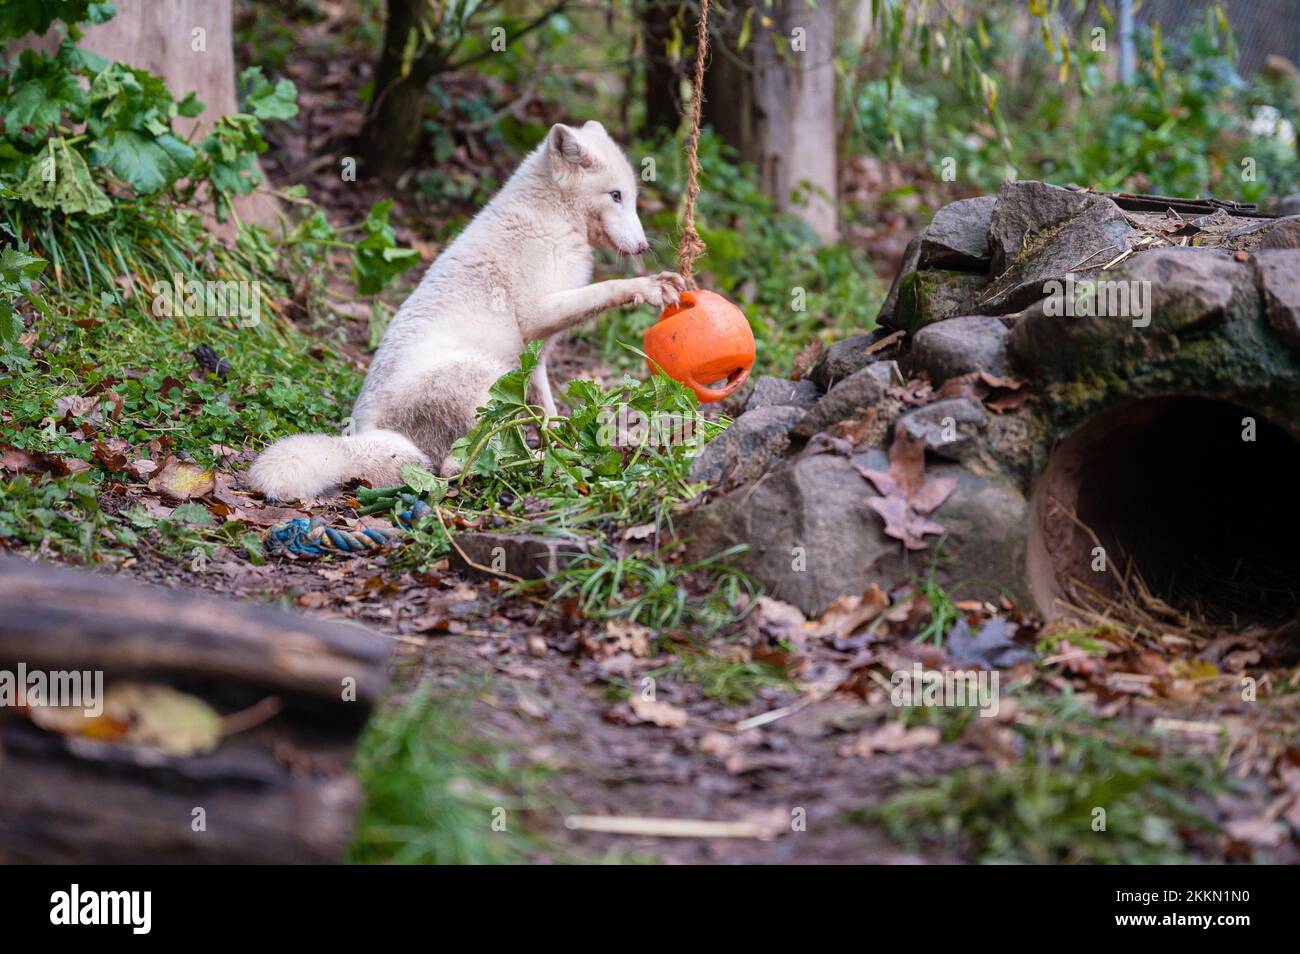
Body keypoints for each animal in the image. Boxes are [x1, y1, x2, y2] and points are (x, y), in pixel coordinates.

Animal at [248, 121, 685, 501]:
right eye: (616, 196)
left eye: (631, 197)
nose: (644, 247)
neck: (552, 219)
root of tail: (365, 430)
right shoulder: (539, 315)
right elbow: (608, 288)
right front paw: (650, 286)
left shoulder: (535, 353)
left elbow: (547, 409)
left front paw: (569, 436)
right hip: (486, 377)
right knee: (456, 465)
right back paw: (533, 462)